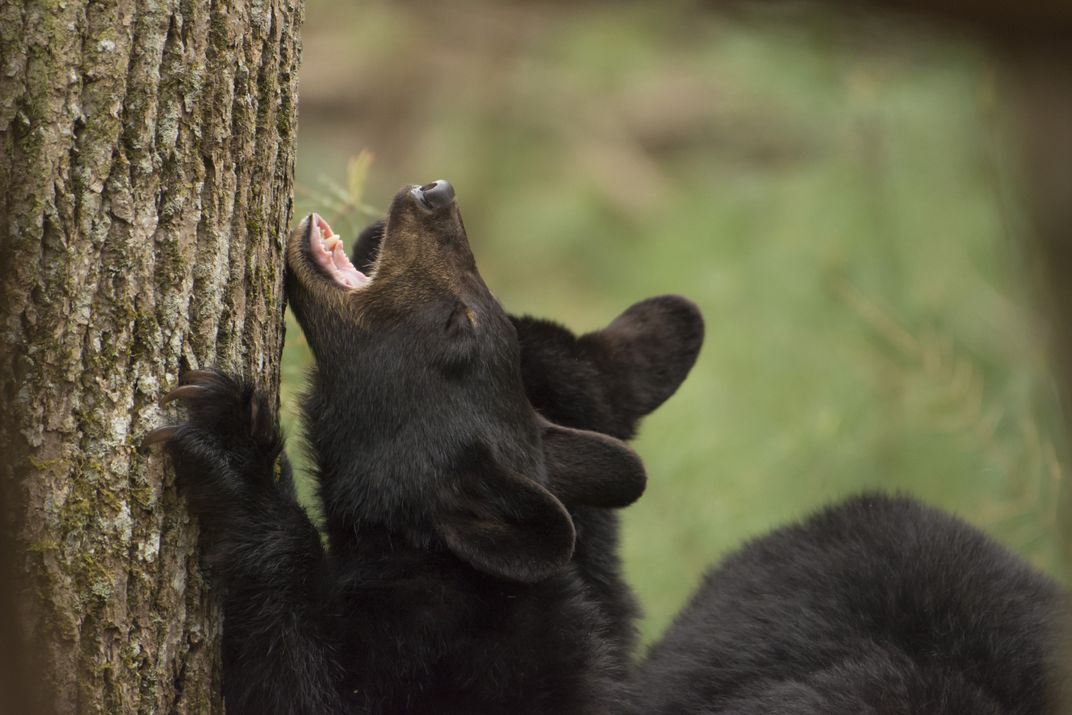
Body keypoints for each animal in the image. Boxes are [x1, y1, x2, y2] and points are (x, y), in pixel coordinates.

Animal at [149, 179, 702, 714]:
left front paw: (235, 443)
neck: (425, 552)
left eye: (459, 322)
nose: (437, 194)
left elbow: (297, 687)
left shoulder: (419, 658)